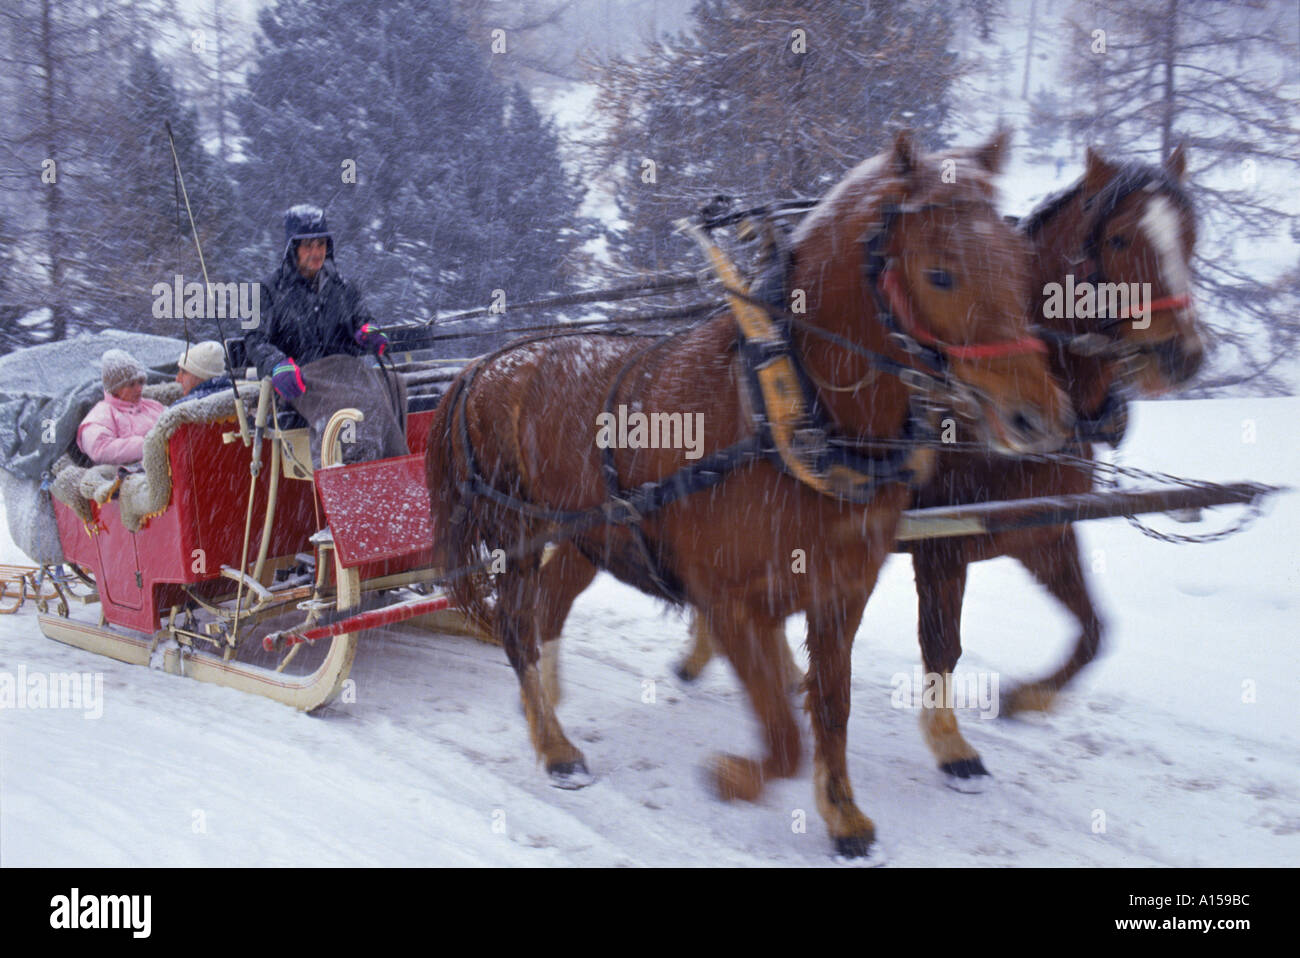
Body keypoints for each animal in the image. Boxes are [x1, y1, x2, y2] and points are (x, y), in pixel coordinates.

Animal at [424, 130, 1072, 859]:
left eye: (1021, 261)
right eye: (940, 273)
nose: (1039, 417)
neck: (787, 409)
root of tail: (481, 366)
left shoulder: (841, 589)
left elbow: (829, 705)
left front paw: (843, 813)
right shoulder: (730, 601)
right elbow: (783, 735)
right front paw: (733, 778)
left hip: (588, 532)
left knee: (548, 609)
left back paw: (549, 708)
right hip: (513, 532)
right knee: (516, 628)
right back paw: (555, 746)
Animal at [674, 145, 1204, 791]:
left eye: (1191, 234)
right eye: (1122, 237)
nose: (1182, 355)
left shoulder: (1042, 532)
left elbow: (1095, 630)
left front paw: (1027, 697)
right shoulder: (941, 548)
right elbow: (942, 643)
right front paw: (950, 743)